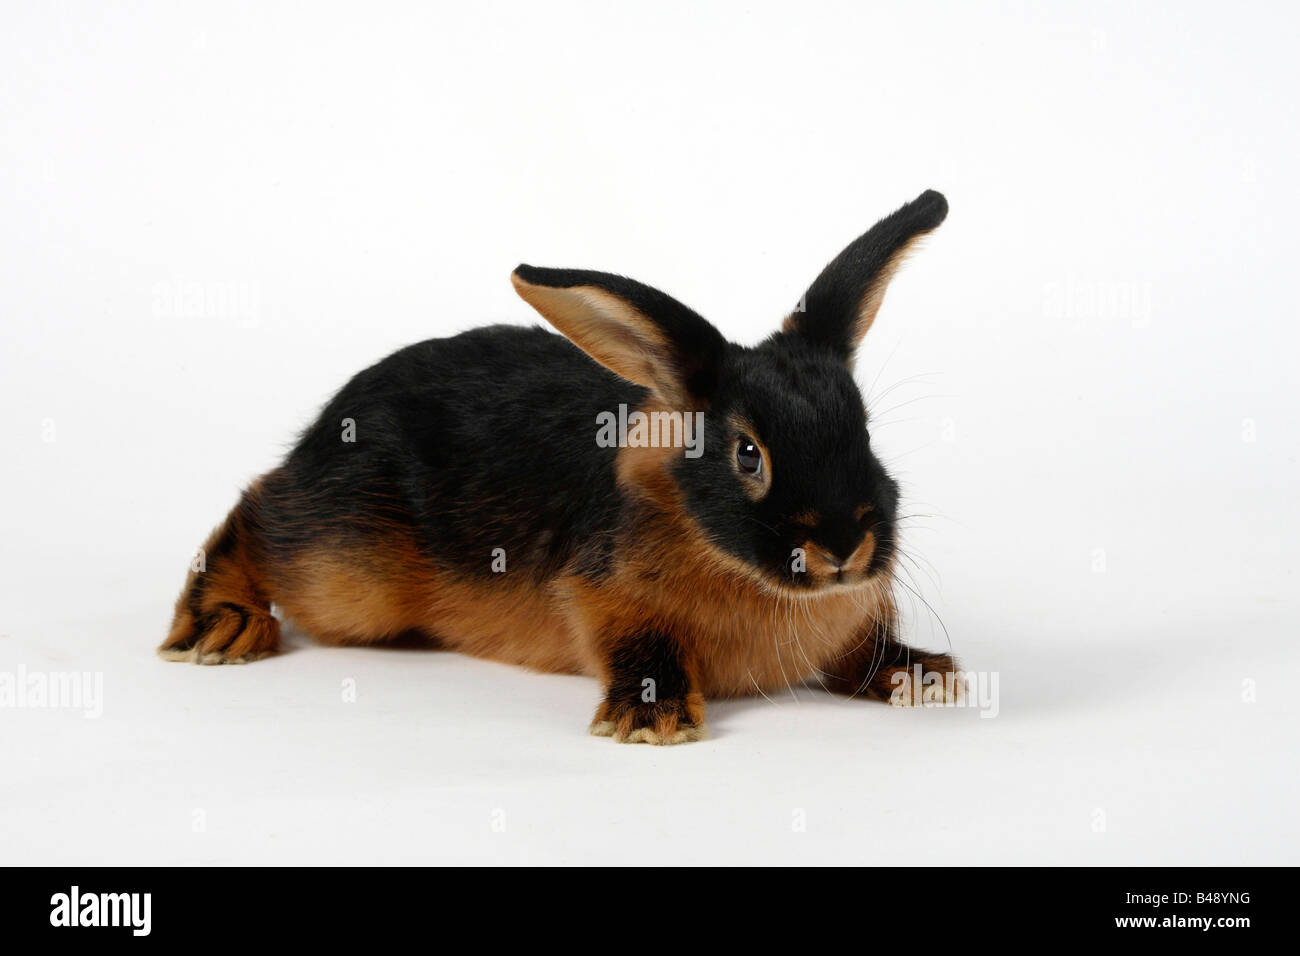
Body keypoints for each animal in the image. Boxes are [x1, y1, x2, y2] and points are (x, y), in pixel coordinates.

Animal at [159, 188, 961, 744]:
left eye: (864, 432)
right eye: (747, 453)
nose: (843, 548)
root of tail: (327, 428)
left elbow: (866, 655)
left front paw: (927, 676)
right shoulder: (601, 596)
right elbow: (638, 642)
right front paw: (651, 722)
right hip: (351, 575)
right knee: (258, 511)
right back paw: (219, 629)